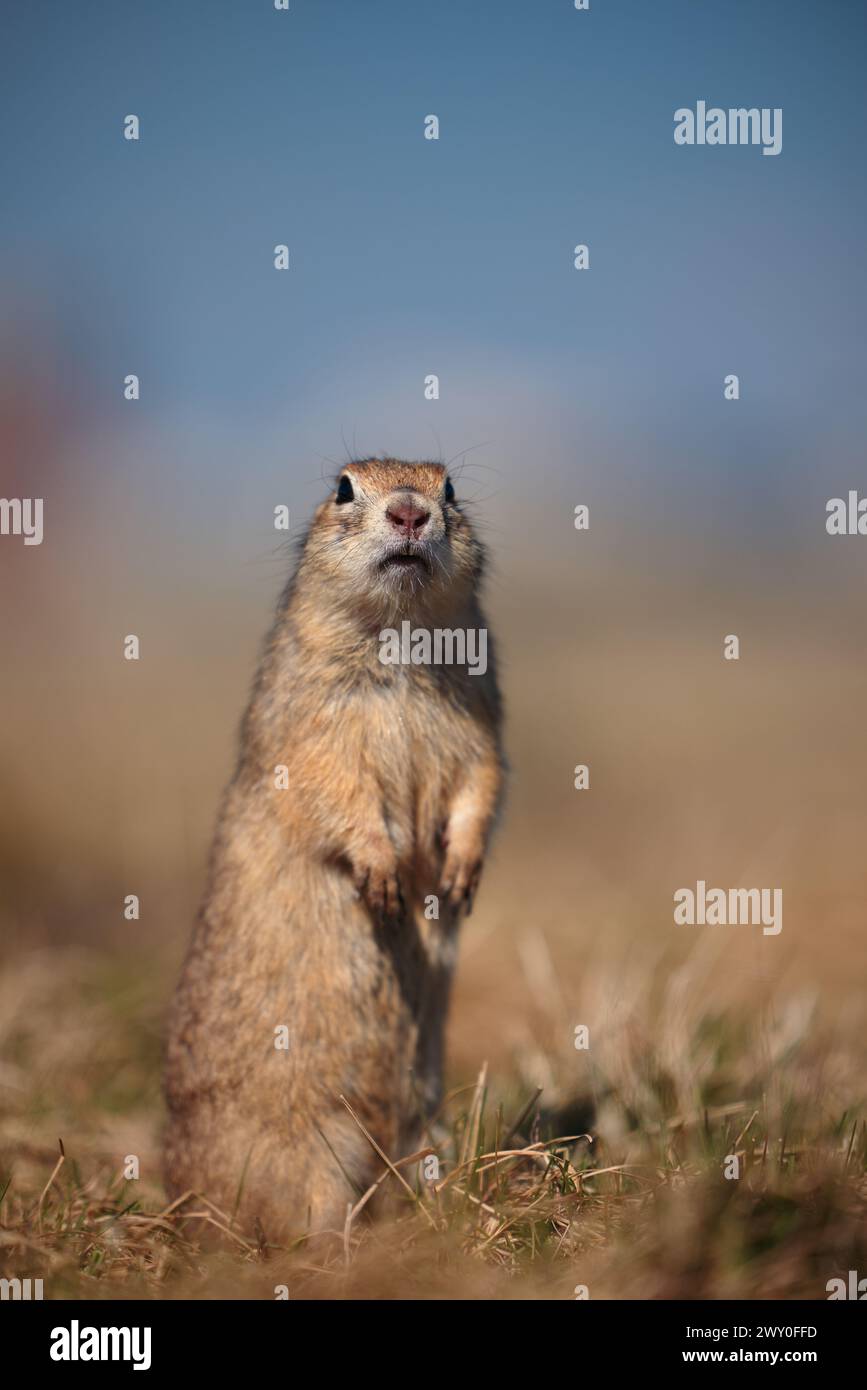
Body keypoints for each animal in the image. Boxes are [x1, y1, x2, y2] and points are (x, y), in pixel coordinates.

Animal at [163, 459, 504, 1240]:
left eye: (450, 491)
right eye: (344, 488)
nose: (409, 512)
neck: (402, 640)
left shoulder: (482, 716)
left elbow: (483, 783)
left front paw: (460, 875)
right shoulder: (311, 723)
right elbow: (335, 789)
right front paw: (383, 878)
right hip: (308, 1146)